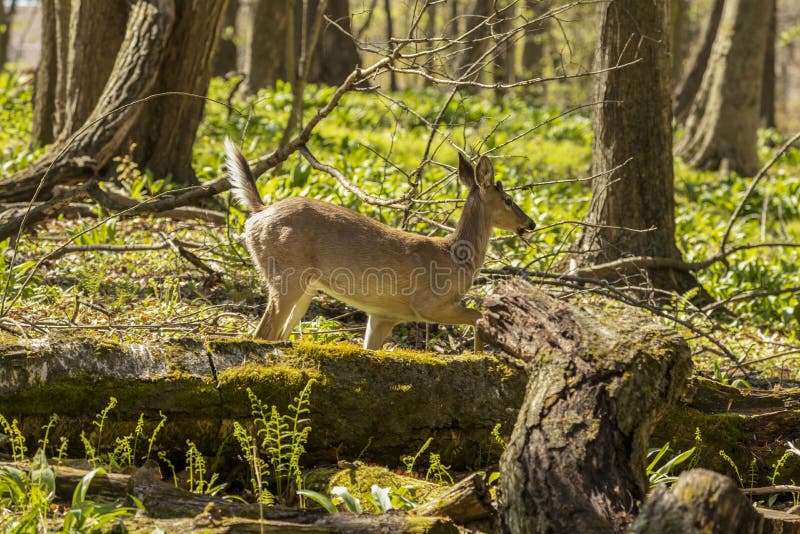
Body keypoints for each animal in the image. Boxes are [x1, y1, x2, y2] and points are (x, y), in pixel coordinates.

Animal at [225, 138, 535, 351]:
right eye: (508, 199)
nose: (530, 223)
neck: (455, 256)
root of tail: (259, 212)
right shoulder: (428, 304)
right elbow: (479, 317)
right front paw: (479, 354)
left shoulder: (383, 315)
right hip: (287, 274)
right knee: (262, 333)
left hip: (307, 286)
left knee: (279, 333)